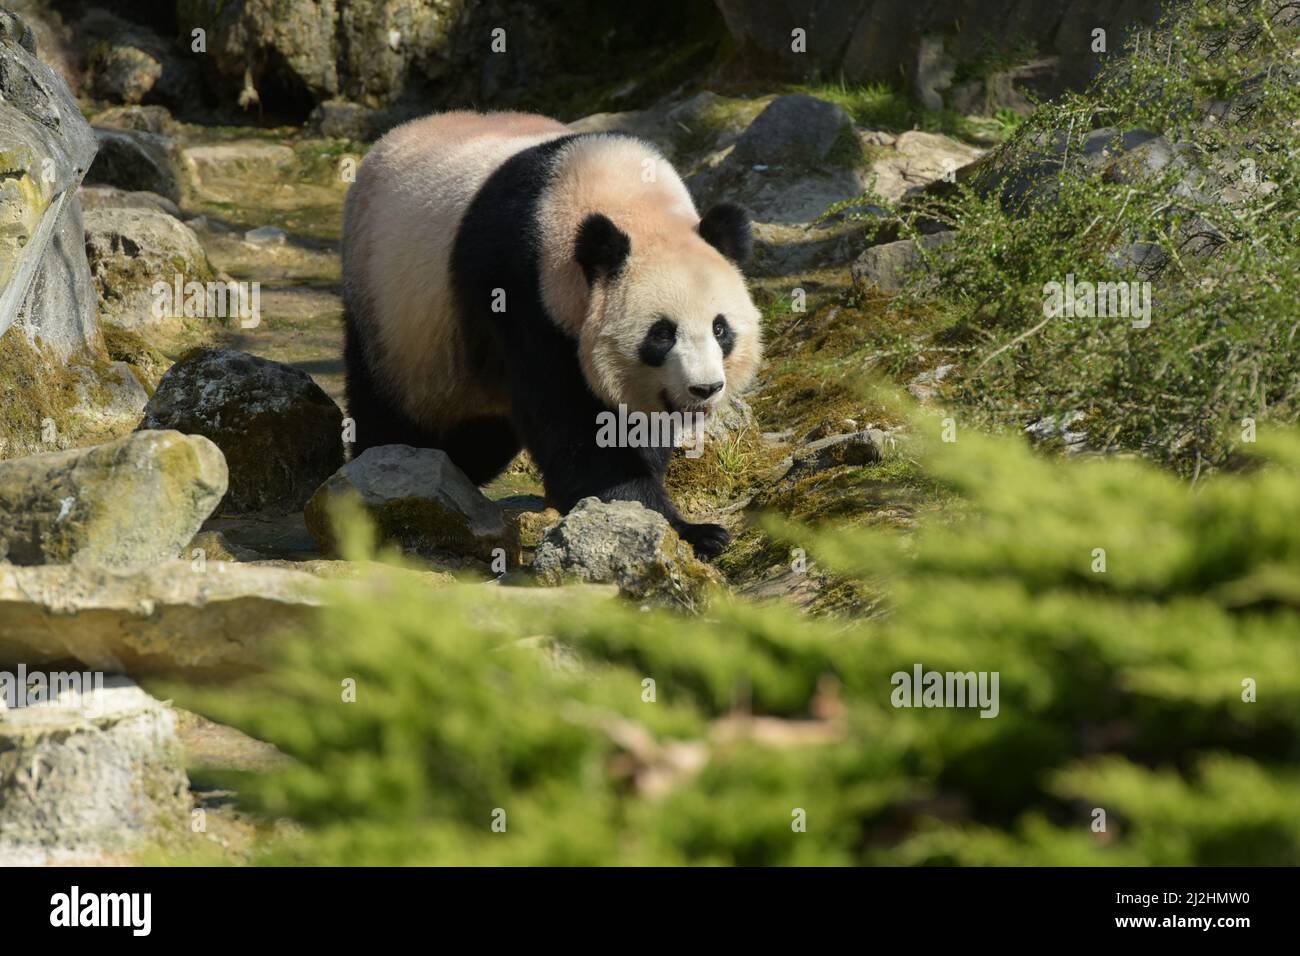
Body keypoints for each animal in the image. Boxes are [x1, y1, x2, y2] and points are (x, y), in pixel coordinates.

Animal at [341, 111, 763, 559]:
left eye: (720, 328)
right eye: (662, 334)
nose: (705, 388)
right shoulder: (520, 290)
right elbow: (571, 426)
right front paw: (684, 528)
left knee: (481, 433)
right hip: (388, 305)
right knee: (388, 405)